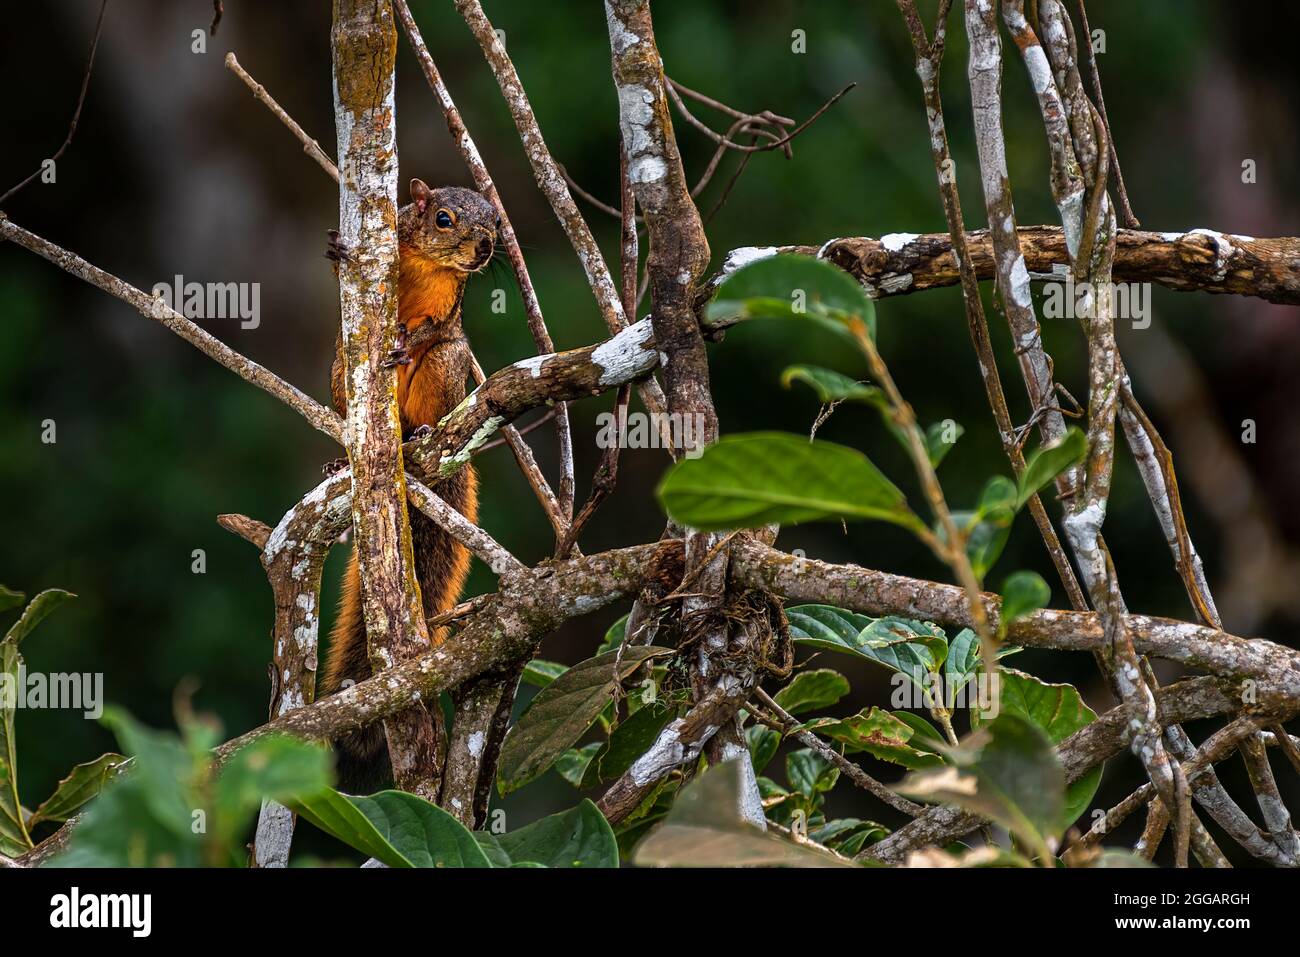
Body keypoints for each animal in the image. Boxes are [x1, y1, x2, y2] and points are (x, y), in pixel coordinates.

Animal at [319, 178, 499, 790]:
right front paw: (337, 250)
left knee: (441, 364)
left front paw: (406, 338)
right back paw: (342, 459)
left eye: (496, 224)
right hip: (340, 370)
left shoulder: (451, 308)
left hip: (447, 373)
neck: (427, 262)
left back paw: (419, 430)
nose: (485, 249)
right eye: (443, 218)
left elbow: (436, 327)